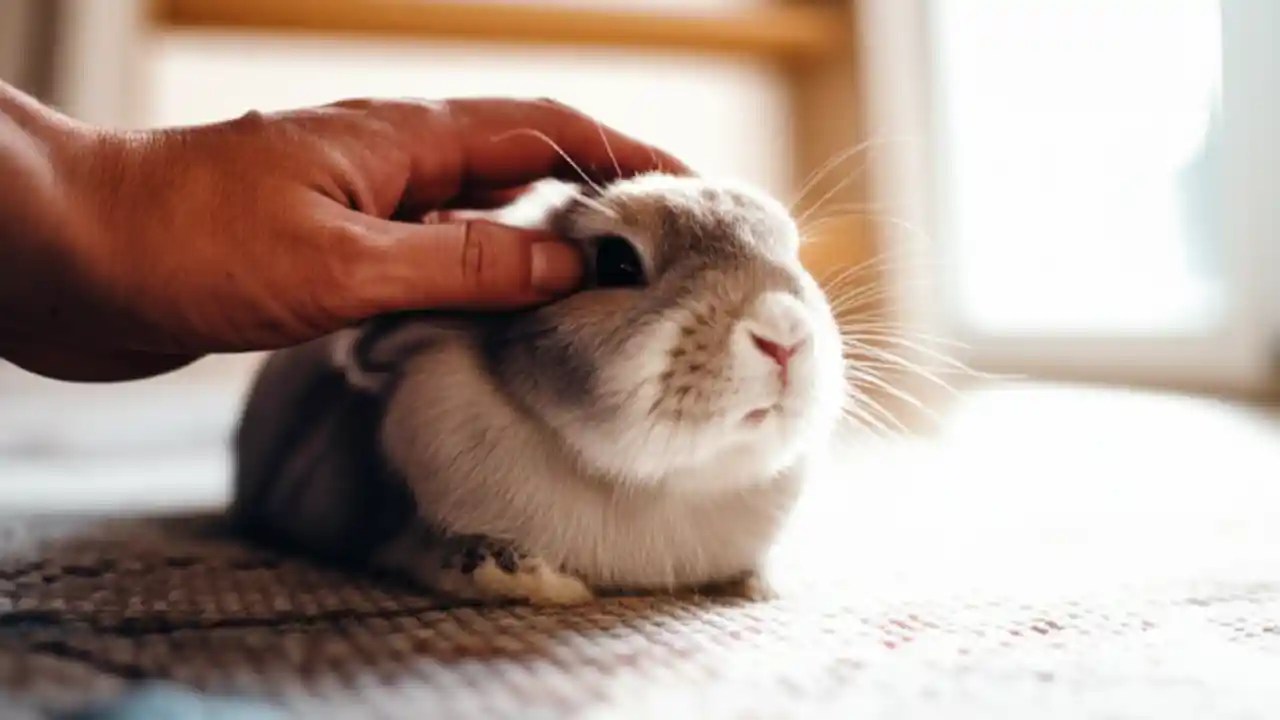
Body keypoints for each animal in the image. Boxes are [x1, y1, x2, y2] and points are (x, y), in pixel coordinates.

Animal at [230, 172, 846, 605]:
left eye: (790, 252)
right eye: (616, 261)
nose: (785, 335)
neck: (644, 487)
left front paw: (762, 584)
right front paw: (539, 584)